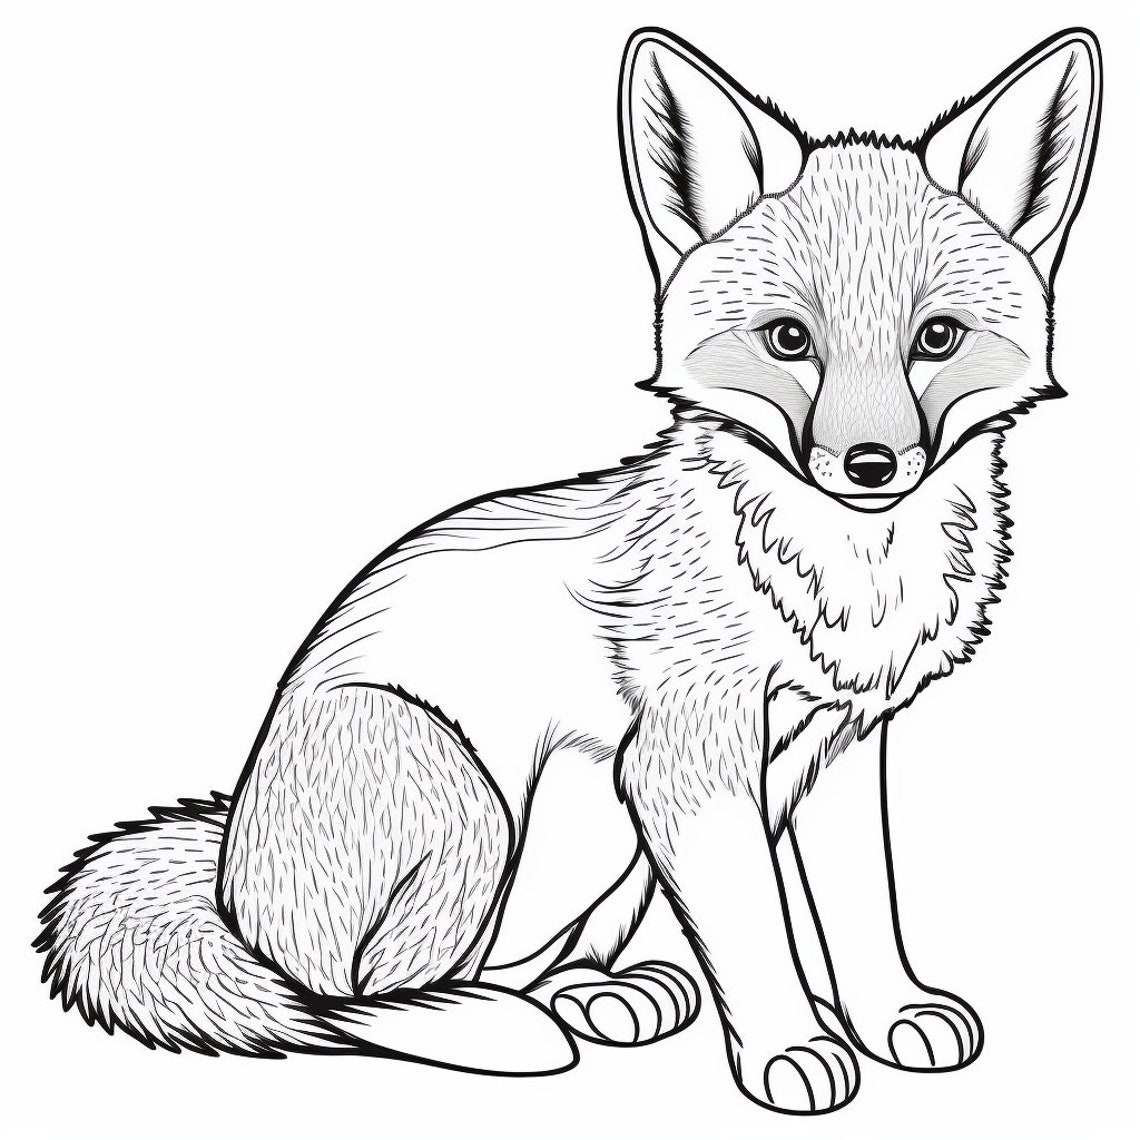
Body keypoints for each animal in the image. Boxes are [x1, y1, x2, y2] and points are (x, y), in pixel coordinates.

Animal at [37, 27, 1101, 1115]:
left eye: (937, 338)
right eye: (788, 340)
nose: (872, 466)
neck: (840, 585)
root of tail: (225, 883)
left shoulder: (840, 755)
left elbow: (865, 917)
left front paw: (891, 1018)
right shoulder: (685, 768)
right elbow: (757, 938)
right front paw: (790, 1049)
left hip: (606, 844)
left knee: (515, 971)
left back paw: (602, 996)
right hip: (482, 794)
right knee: (348, 1002)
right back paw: (493, 1023)